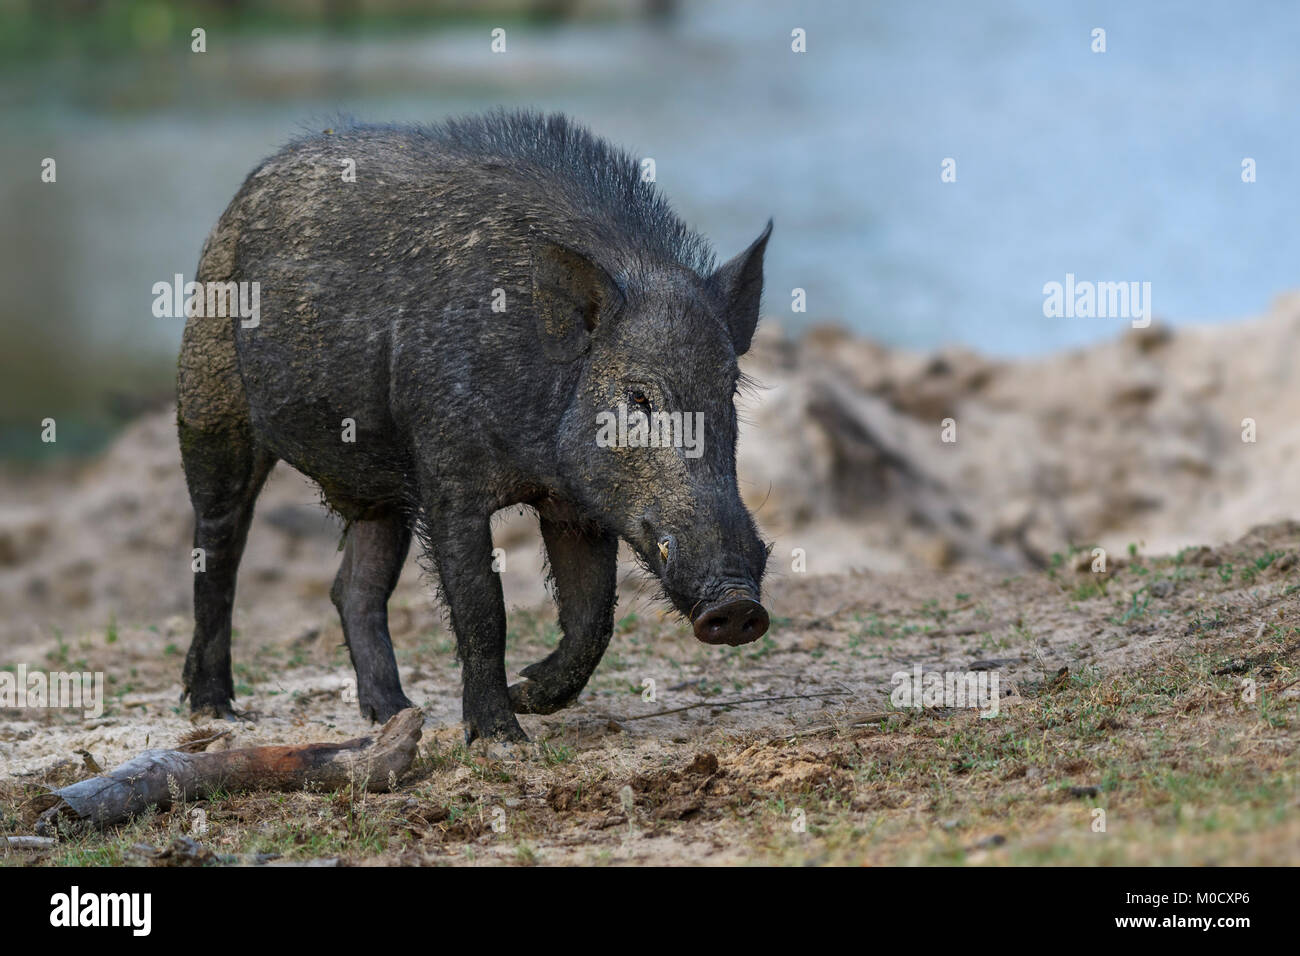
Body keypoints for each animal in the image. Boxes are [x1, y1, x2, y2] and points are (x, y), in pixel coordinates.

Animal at [177, 110, 772, 742]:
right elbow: (483, 607)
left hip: (384, 488)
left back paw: (394, 712)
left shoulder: (574, 507)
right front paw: (500, 736)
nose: (738, 605)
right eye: (638, 398)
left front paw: (527, 695)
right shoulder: (449, 479)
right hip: (208, 409)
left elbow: (593, 616)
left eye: (728, 391)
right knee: (217, 552)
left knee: (352, 587)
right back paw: (215, 709)